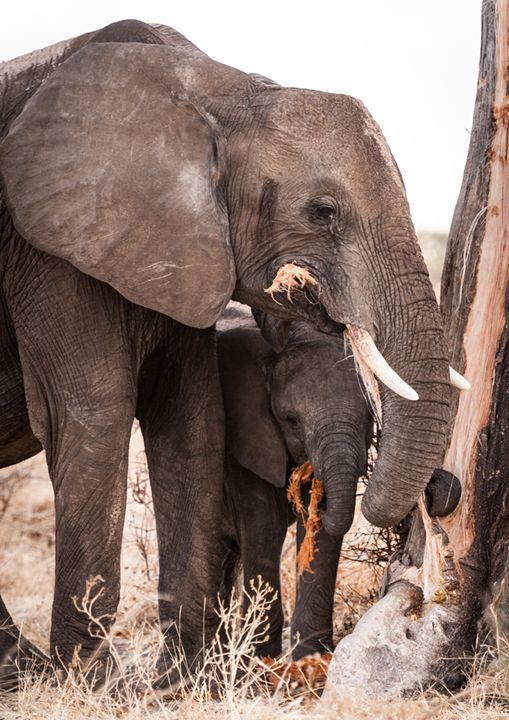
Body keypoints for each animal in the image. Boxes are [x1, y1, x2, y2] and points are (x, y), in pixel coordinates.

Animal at [0, 18, 465, 676]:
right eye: (323, 211)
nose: (441, 490)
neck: (219, 91)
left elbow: (192, 422)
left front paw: (182, 678)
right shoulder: (49, 250)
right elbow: (95, 414)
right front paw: (98, 683)